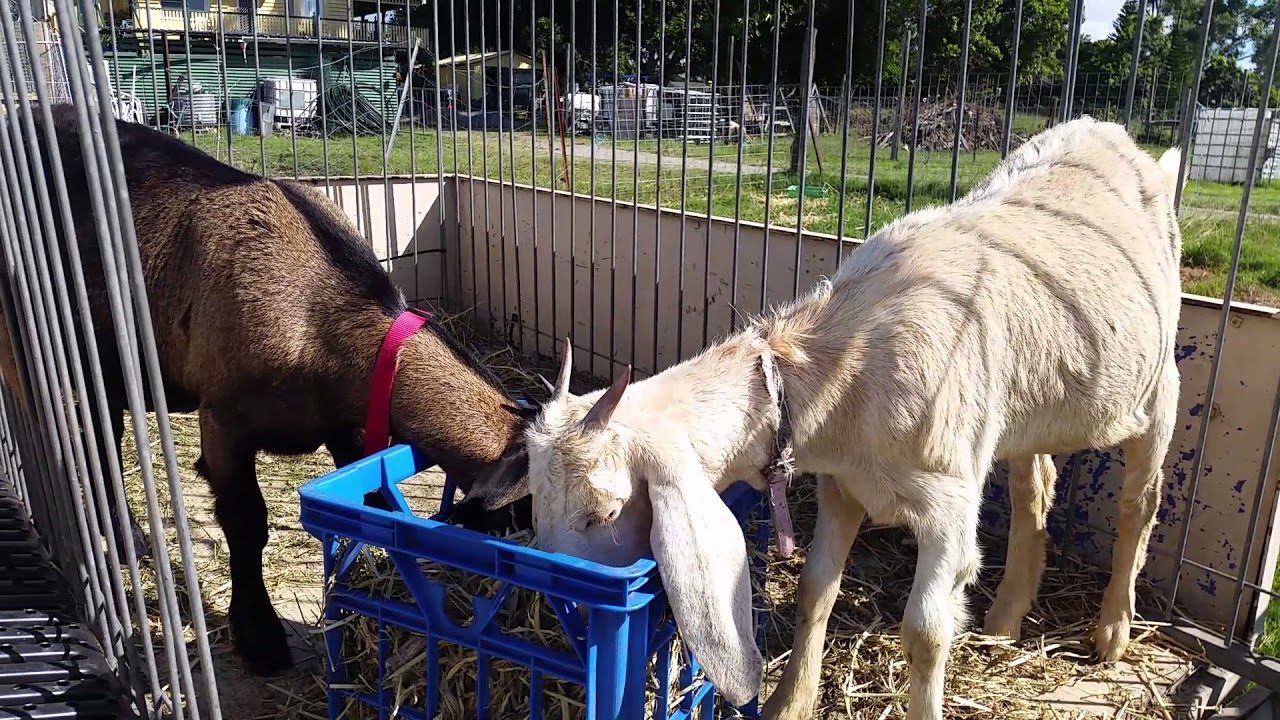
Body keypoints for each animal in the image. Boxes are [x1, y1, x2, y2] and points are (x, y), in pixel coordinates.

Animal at [0, 104, 533, 676]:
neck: (320, 312)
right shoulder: (222, 418)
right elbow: (246, 522)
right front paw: (259, 635)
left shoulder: (347, 422)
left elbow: (367, 501)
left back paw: (129, 540)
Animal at [519, 117, 1184, 720]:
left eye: (603, 513)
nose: (560, 608)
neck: (837, 362)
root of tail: (1125, 140)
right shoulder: (841, 483)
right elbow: (815, 589)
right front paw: (788, 703)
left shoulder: (950, 508)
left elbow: (925, 633)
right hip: (1027, 406)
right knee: (1035, 487)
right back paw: (1004, 618)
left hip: (1159, 384)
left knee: (1141, 502)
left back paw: (1112, 633)